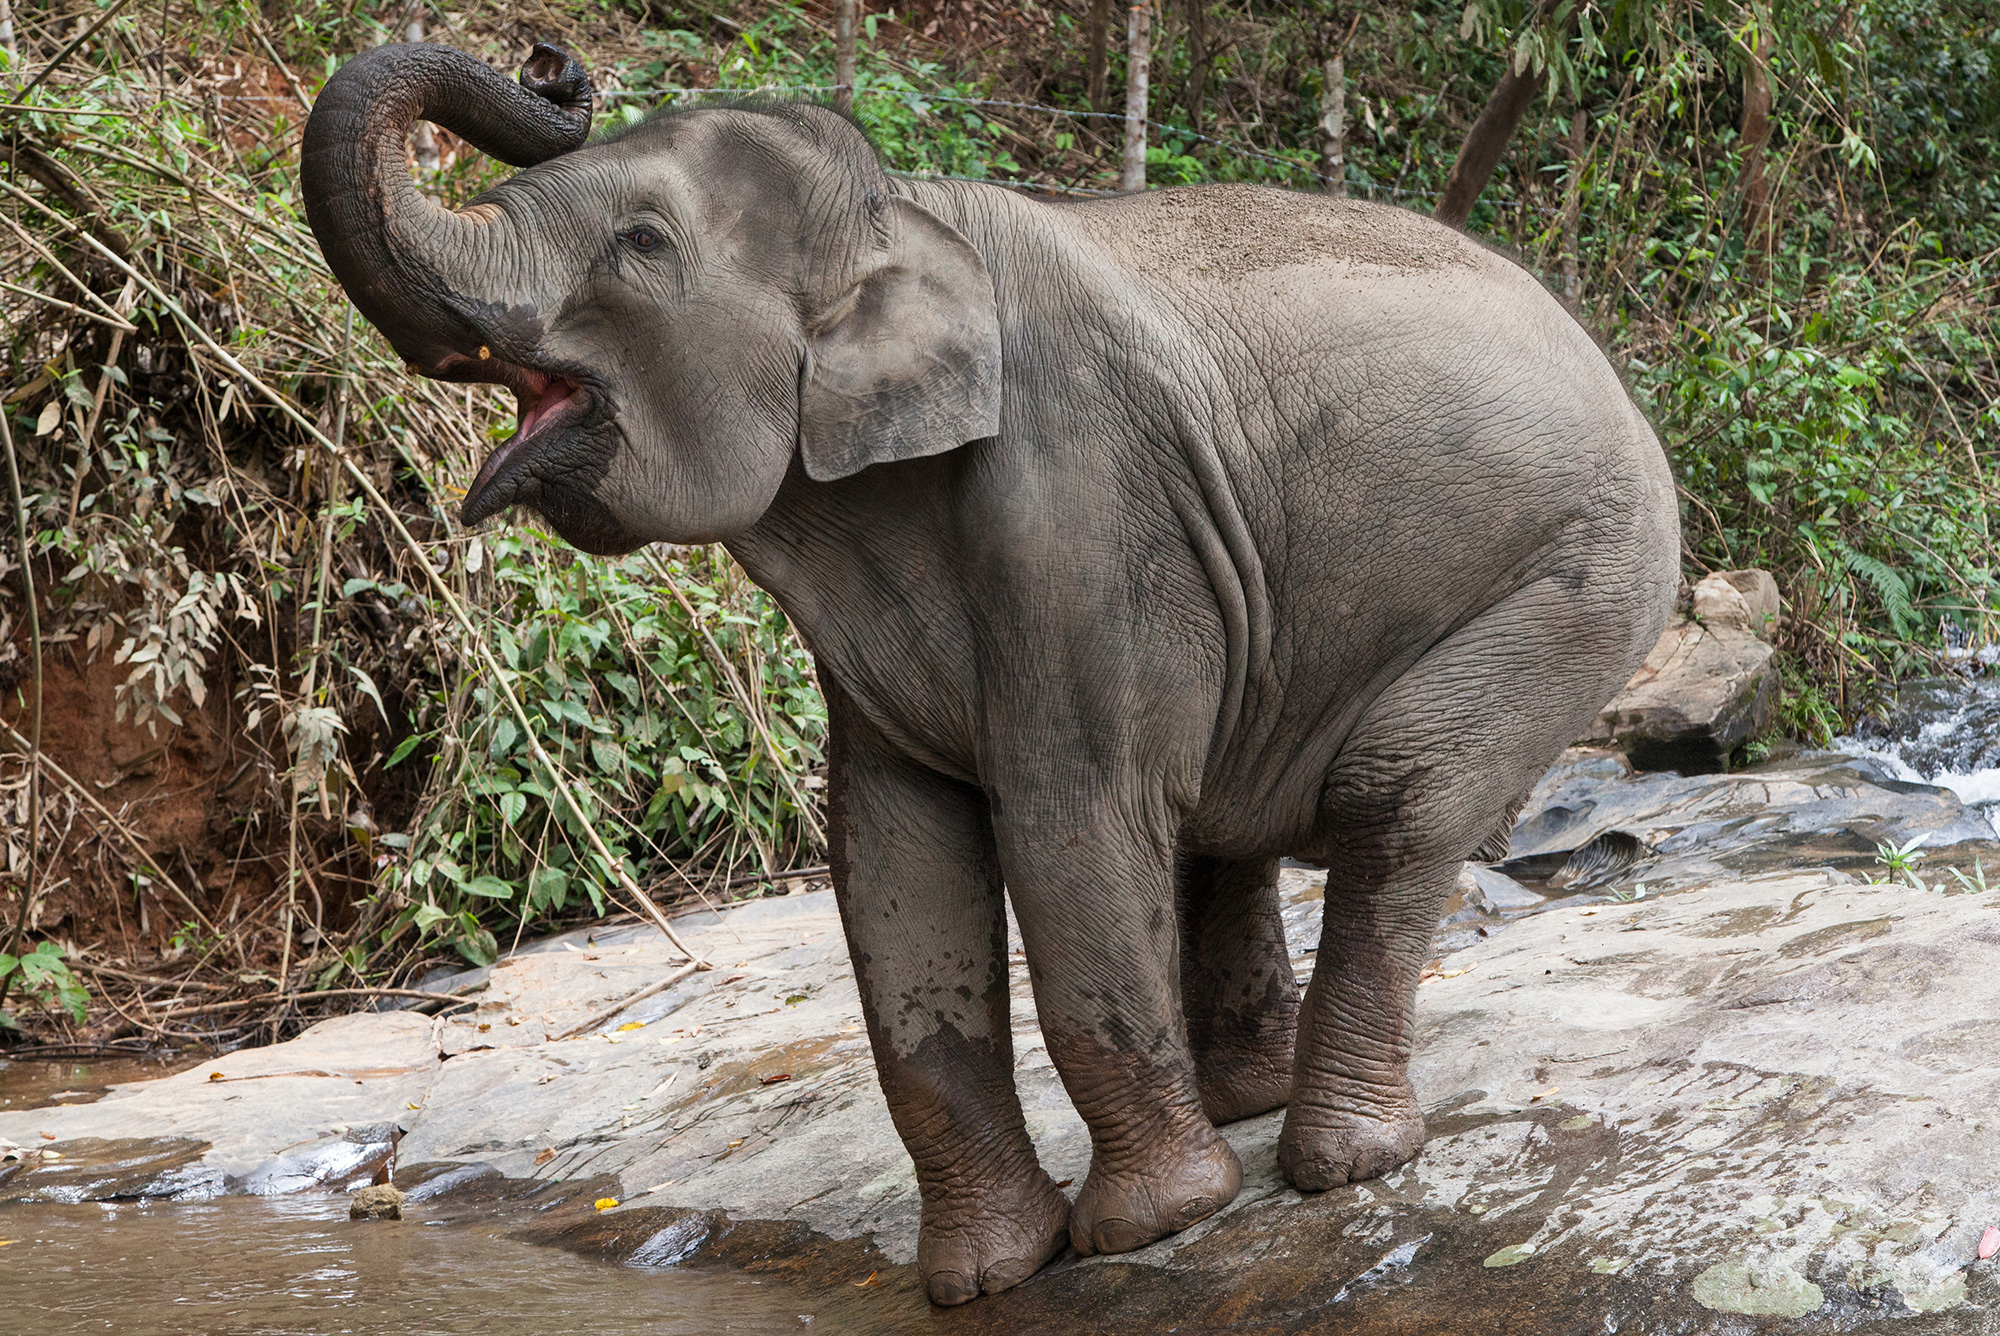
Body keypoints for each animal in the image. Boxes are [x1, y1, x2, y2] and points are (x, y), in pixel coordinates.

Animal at [302, 42, 1679, 1306]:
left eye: (639, 243)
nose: (552, 64)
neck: (898, 214)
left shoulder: (1083, 499)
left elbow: (1069, 820)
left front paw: (1149, 1227)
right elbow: (893, 857)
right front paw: (983, 1277)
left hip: (1588, 574)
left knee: (1389, 796)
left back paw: (1341, 1161)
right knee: (1216, 824)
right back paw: (1251, 1100)